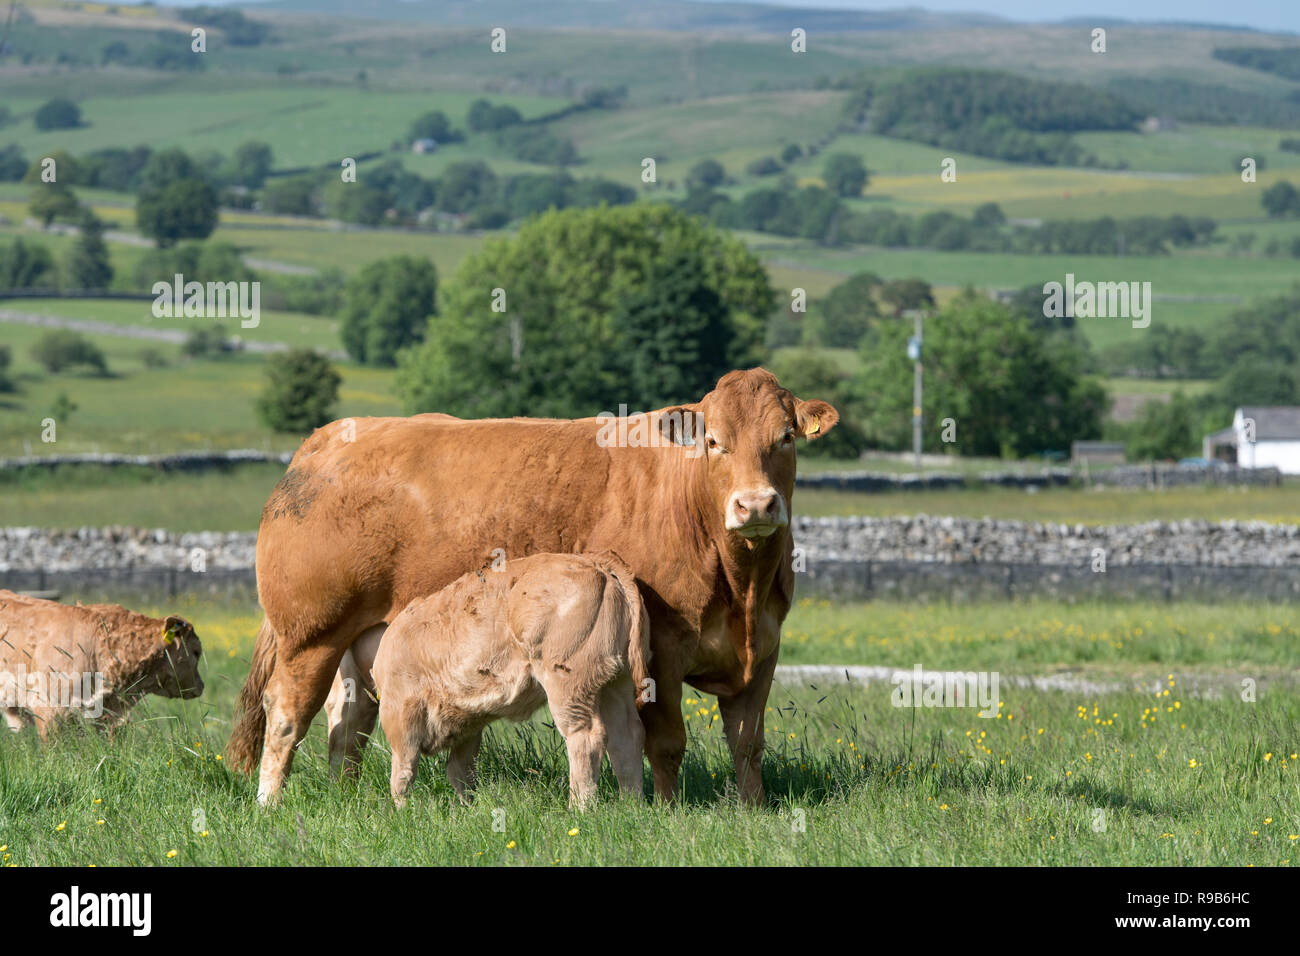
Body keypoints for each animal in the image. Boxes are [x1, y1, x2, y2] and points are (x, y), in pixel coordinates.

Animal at [361, 552, 650, 809]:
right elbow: (461, 773)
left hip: (569, 684)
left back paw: (580, 807)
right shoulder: (469, 726)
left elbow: (403, 771)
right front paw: (466, 810)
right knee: (627, 737)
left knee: (586, 737)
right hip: (615, 682)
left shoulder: (400, 712)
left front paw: (402, 812)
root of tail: (599, 565)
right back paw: (631, 805)